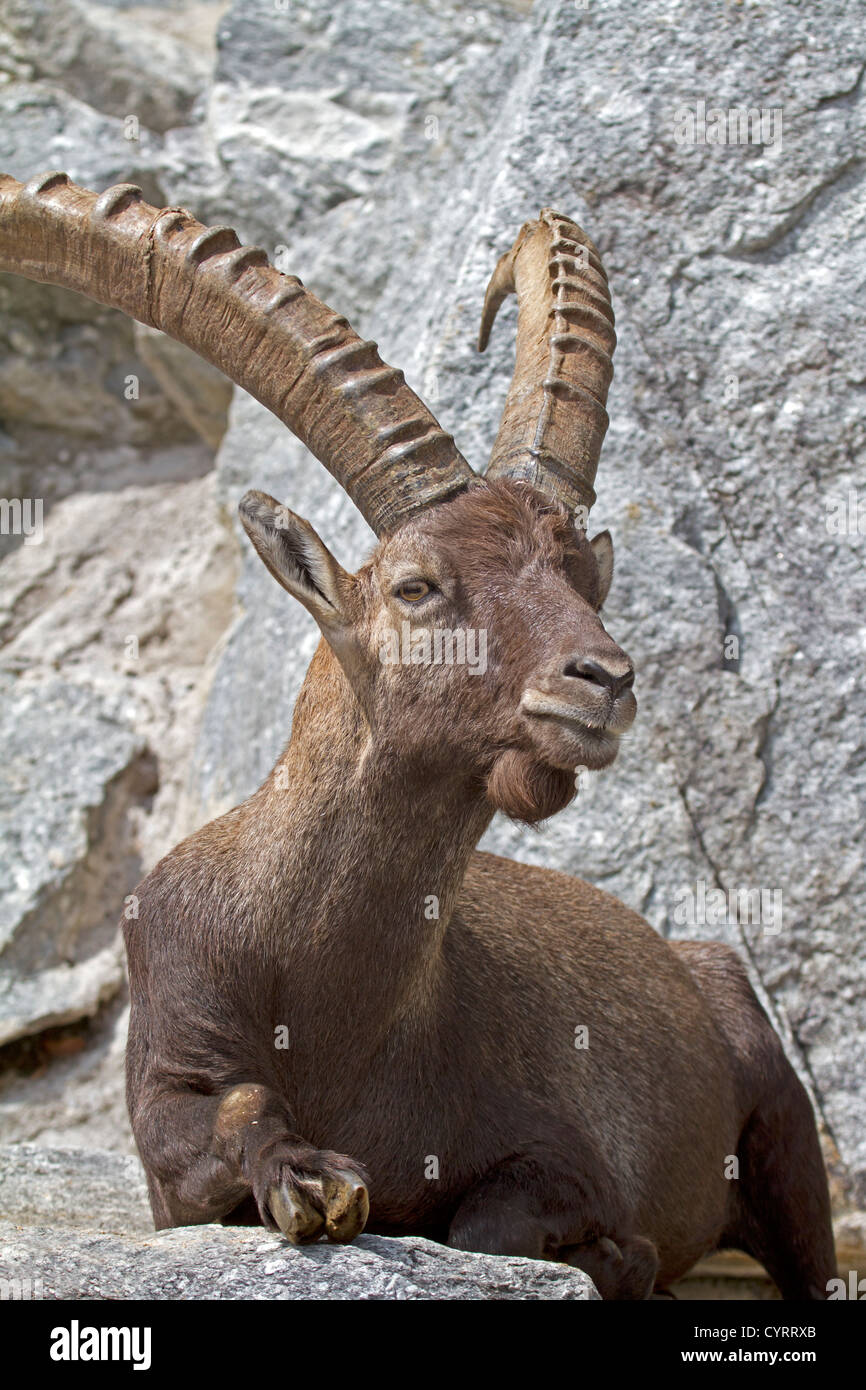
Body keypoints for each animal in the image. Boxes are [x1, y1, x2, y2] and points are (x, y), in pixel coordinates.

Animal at [0, 172, 836, 1298]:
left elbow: (495, 1220)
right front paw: (309, 1182)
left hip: (788, 1138)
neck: (322, 1002)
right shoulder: (172, 1088)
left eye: (585, 577)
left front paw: (621, 1253)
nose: (604, 681)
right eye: (415, 586)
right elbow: (231, 1125)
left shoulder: (560, 1144)